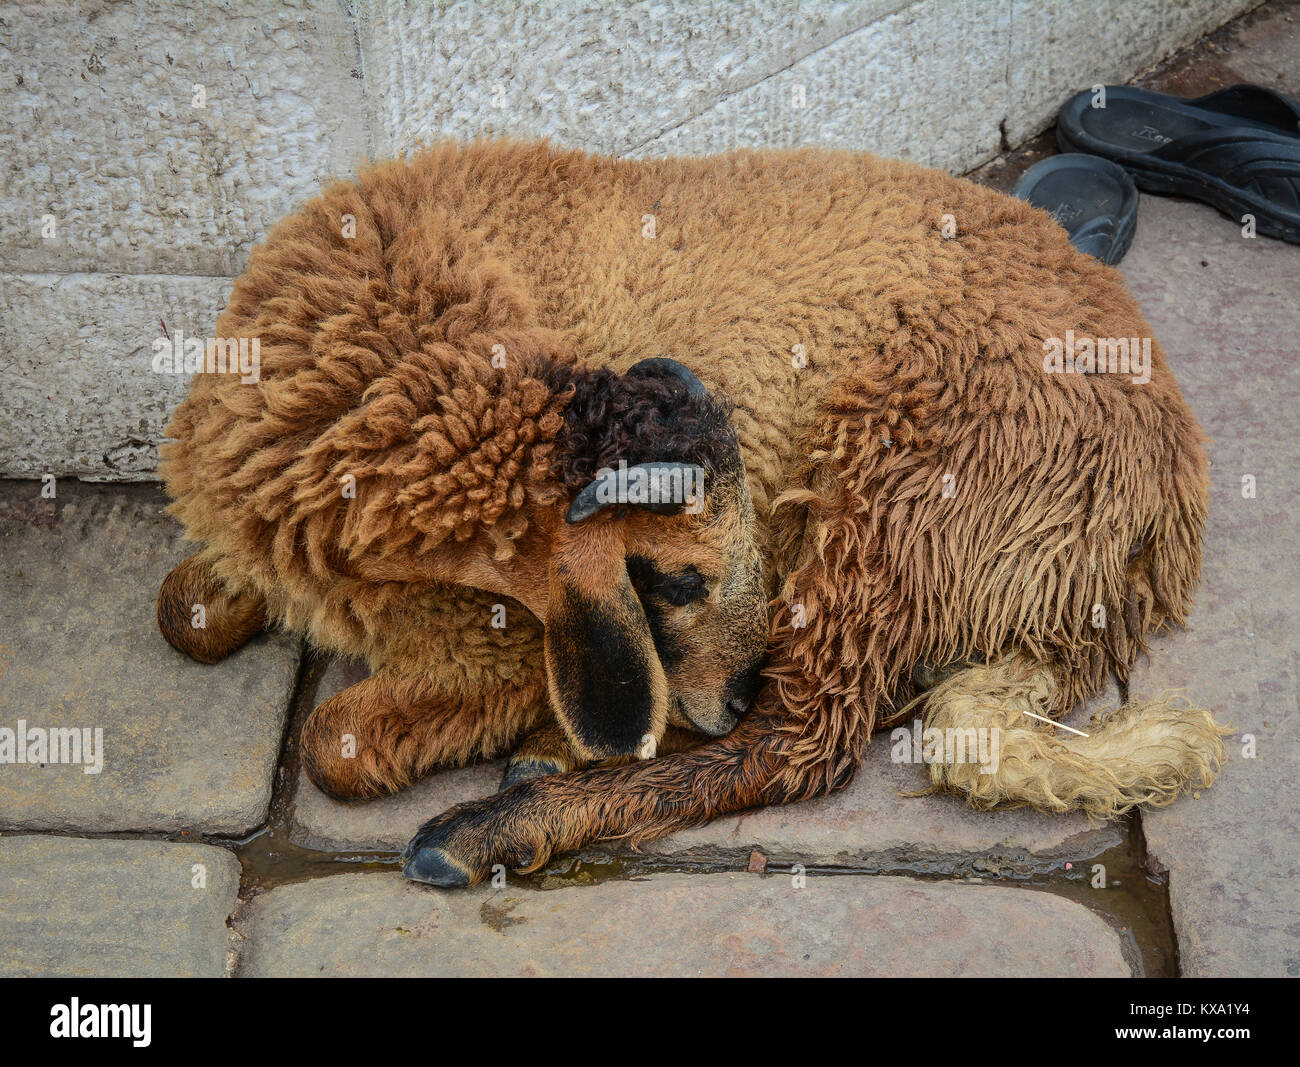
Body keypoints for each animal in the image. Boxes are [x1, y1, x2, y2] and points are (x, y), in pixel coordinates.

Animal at [157, 139, 1229, 887]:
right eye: (675, 577)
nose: (729, 689)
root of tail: (1158, 514)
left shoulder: (513, 644)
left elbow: (331, 742)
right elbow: (183, 612)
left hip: (898, 487)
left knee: (804, 741)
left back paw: (503, 817)